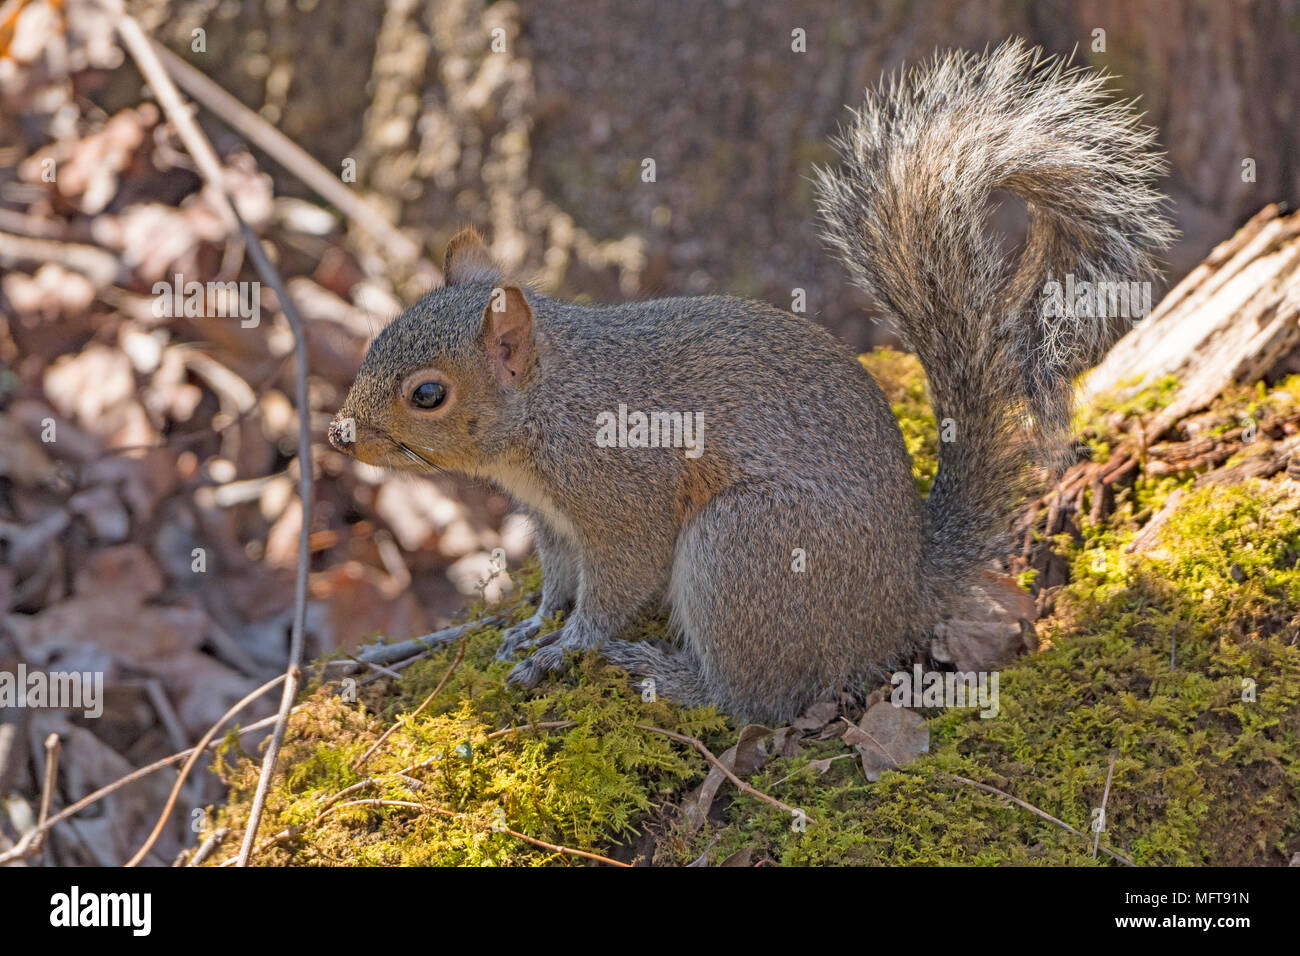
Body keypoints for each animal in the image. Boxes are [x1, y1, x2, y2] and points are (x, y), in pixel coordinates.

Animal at [328, 40, 1173, 723]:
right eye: (379, 335)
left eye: (428, 394)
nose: (341, 434)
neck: (546, 410)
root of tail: (899, 600)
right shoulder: (554, 521)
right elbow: (560, 579)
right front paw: (536, 623)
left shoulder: (621, 499)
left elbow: (615, 586)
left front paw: (566, 647)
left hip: (745, 546)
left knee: (755, 699)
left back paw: (676, 677)